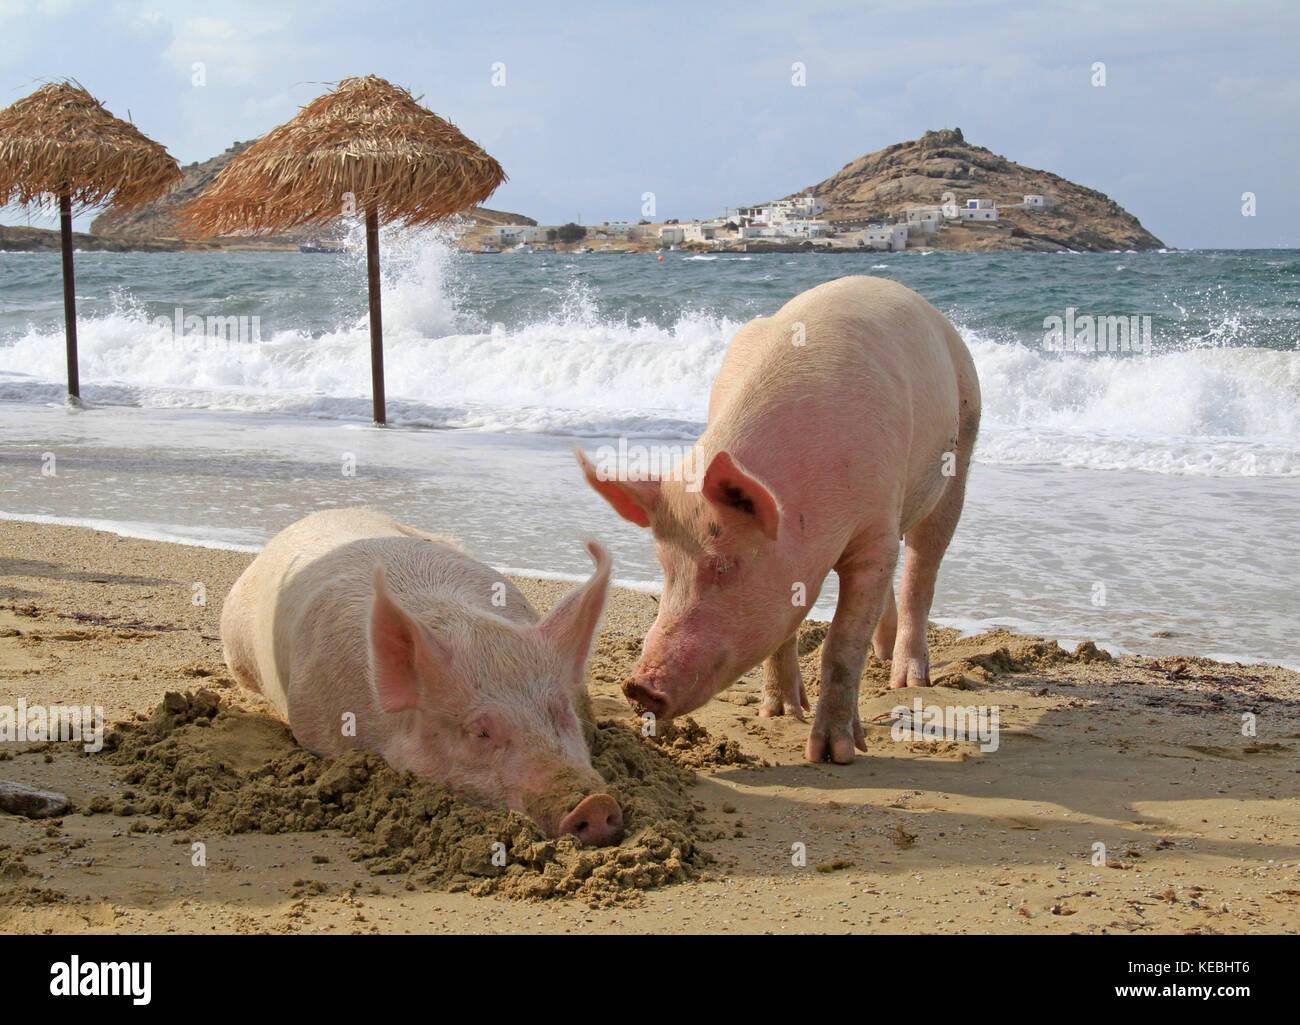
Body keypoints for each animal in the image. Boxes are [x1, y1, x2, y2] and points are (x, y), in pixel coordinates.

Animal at [578, 276, 980, 764]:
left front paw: (832, 754)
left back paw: (907, 680)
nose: (637, 686)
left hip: (962, 446)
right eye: (664, 566)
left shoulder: (874, 532)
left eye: (724, 565)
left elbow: (842, 644)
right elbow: (784, 634)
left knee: (921, 570)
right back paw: (881, 659)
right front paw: (781, 713)